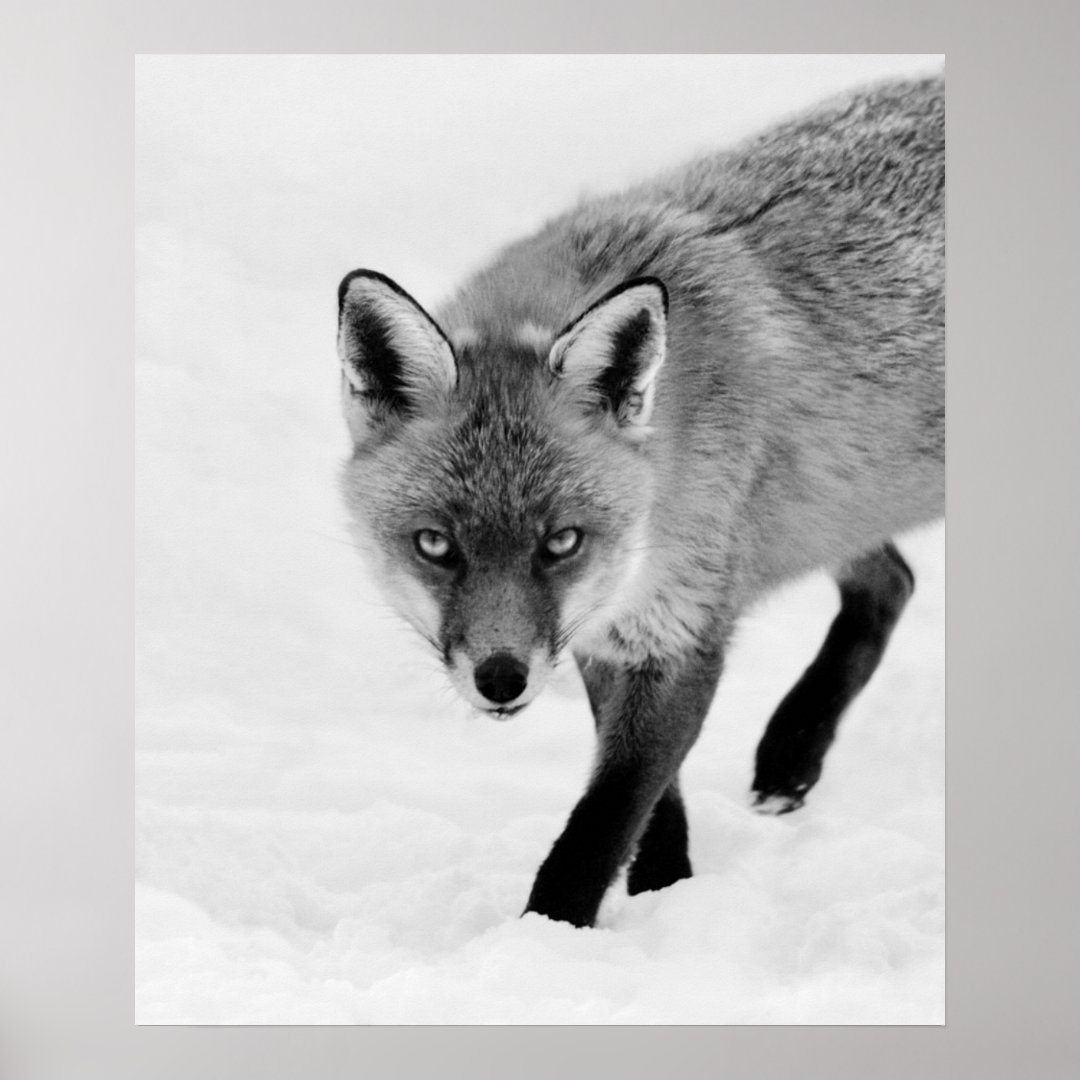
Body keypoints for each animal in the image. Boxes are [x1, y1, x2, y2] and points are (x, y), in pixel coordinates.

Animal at [335, 75, 944, 928]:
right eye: (435, 545)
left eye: (561, 542)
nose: (501, 680)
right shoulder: (609, 629)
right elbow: (654, 798)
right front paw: (668, 887)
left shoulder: (682, 627)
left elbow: (605, 816)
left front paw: (550, 936)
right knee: (892, 581)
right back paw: (794, 752)